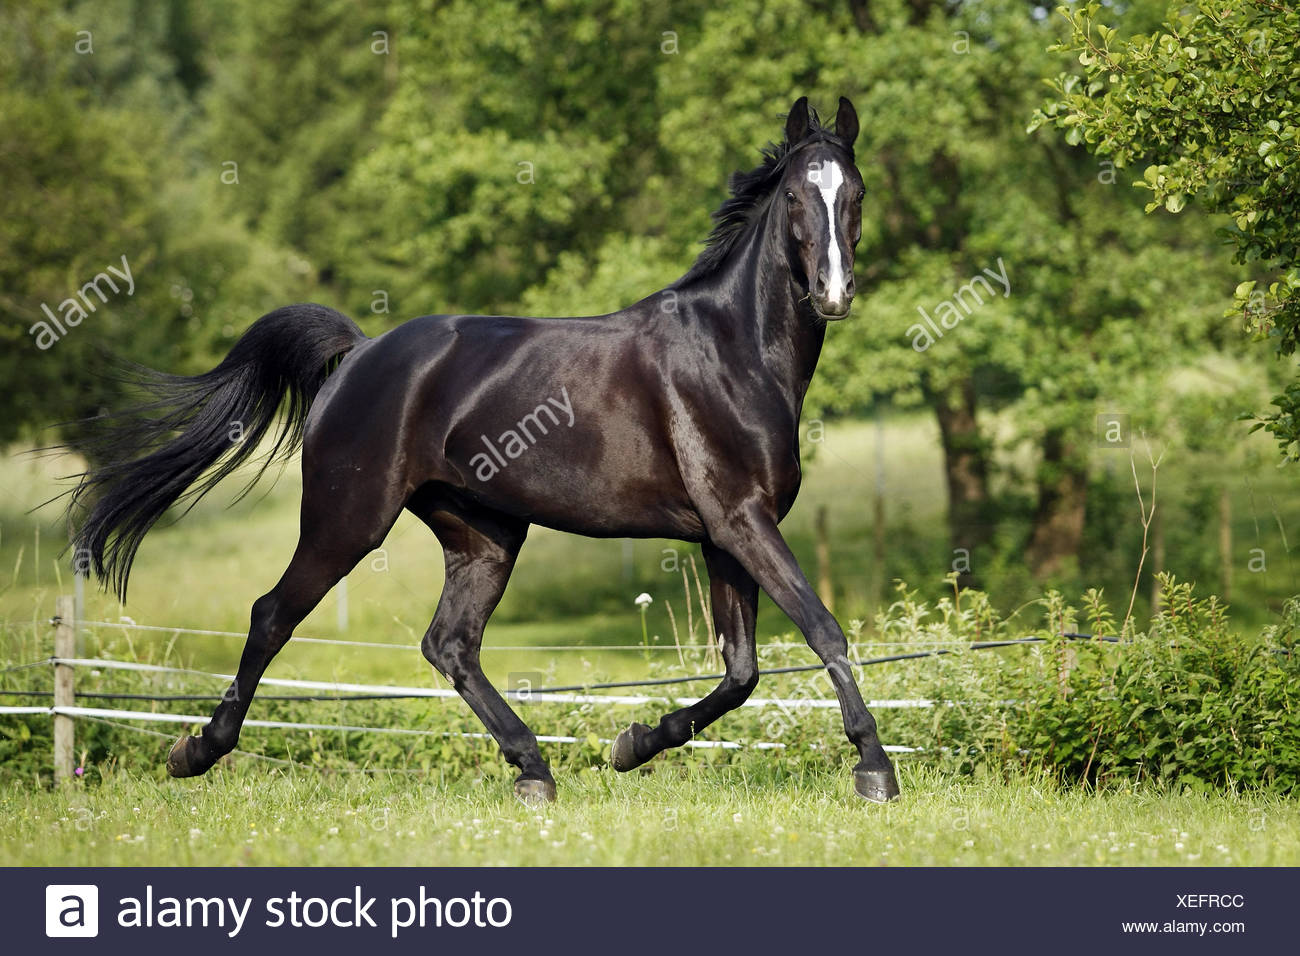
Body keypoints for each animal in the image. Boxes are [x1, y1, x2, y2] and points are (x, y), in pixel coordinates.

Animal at [68, 96, 900, 804]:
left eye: (856, 194)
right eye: (794, 198)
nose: (834, 293)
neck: (733, 350)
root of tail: (360, 351)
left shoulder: (723, 534)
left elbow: (742, 671)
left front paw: (632, 743)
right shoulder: (741, 520)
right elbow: (822, 631)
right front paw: (875, 769)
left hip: (484, 533)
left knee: (450, 645)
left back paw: (533, 770)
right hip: (349, 520)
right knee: (274, 614)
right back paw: (194, 752)